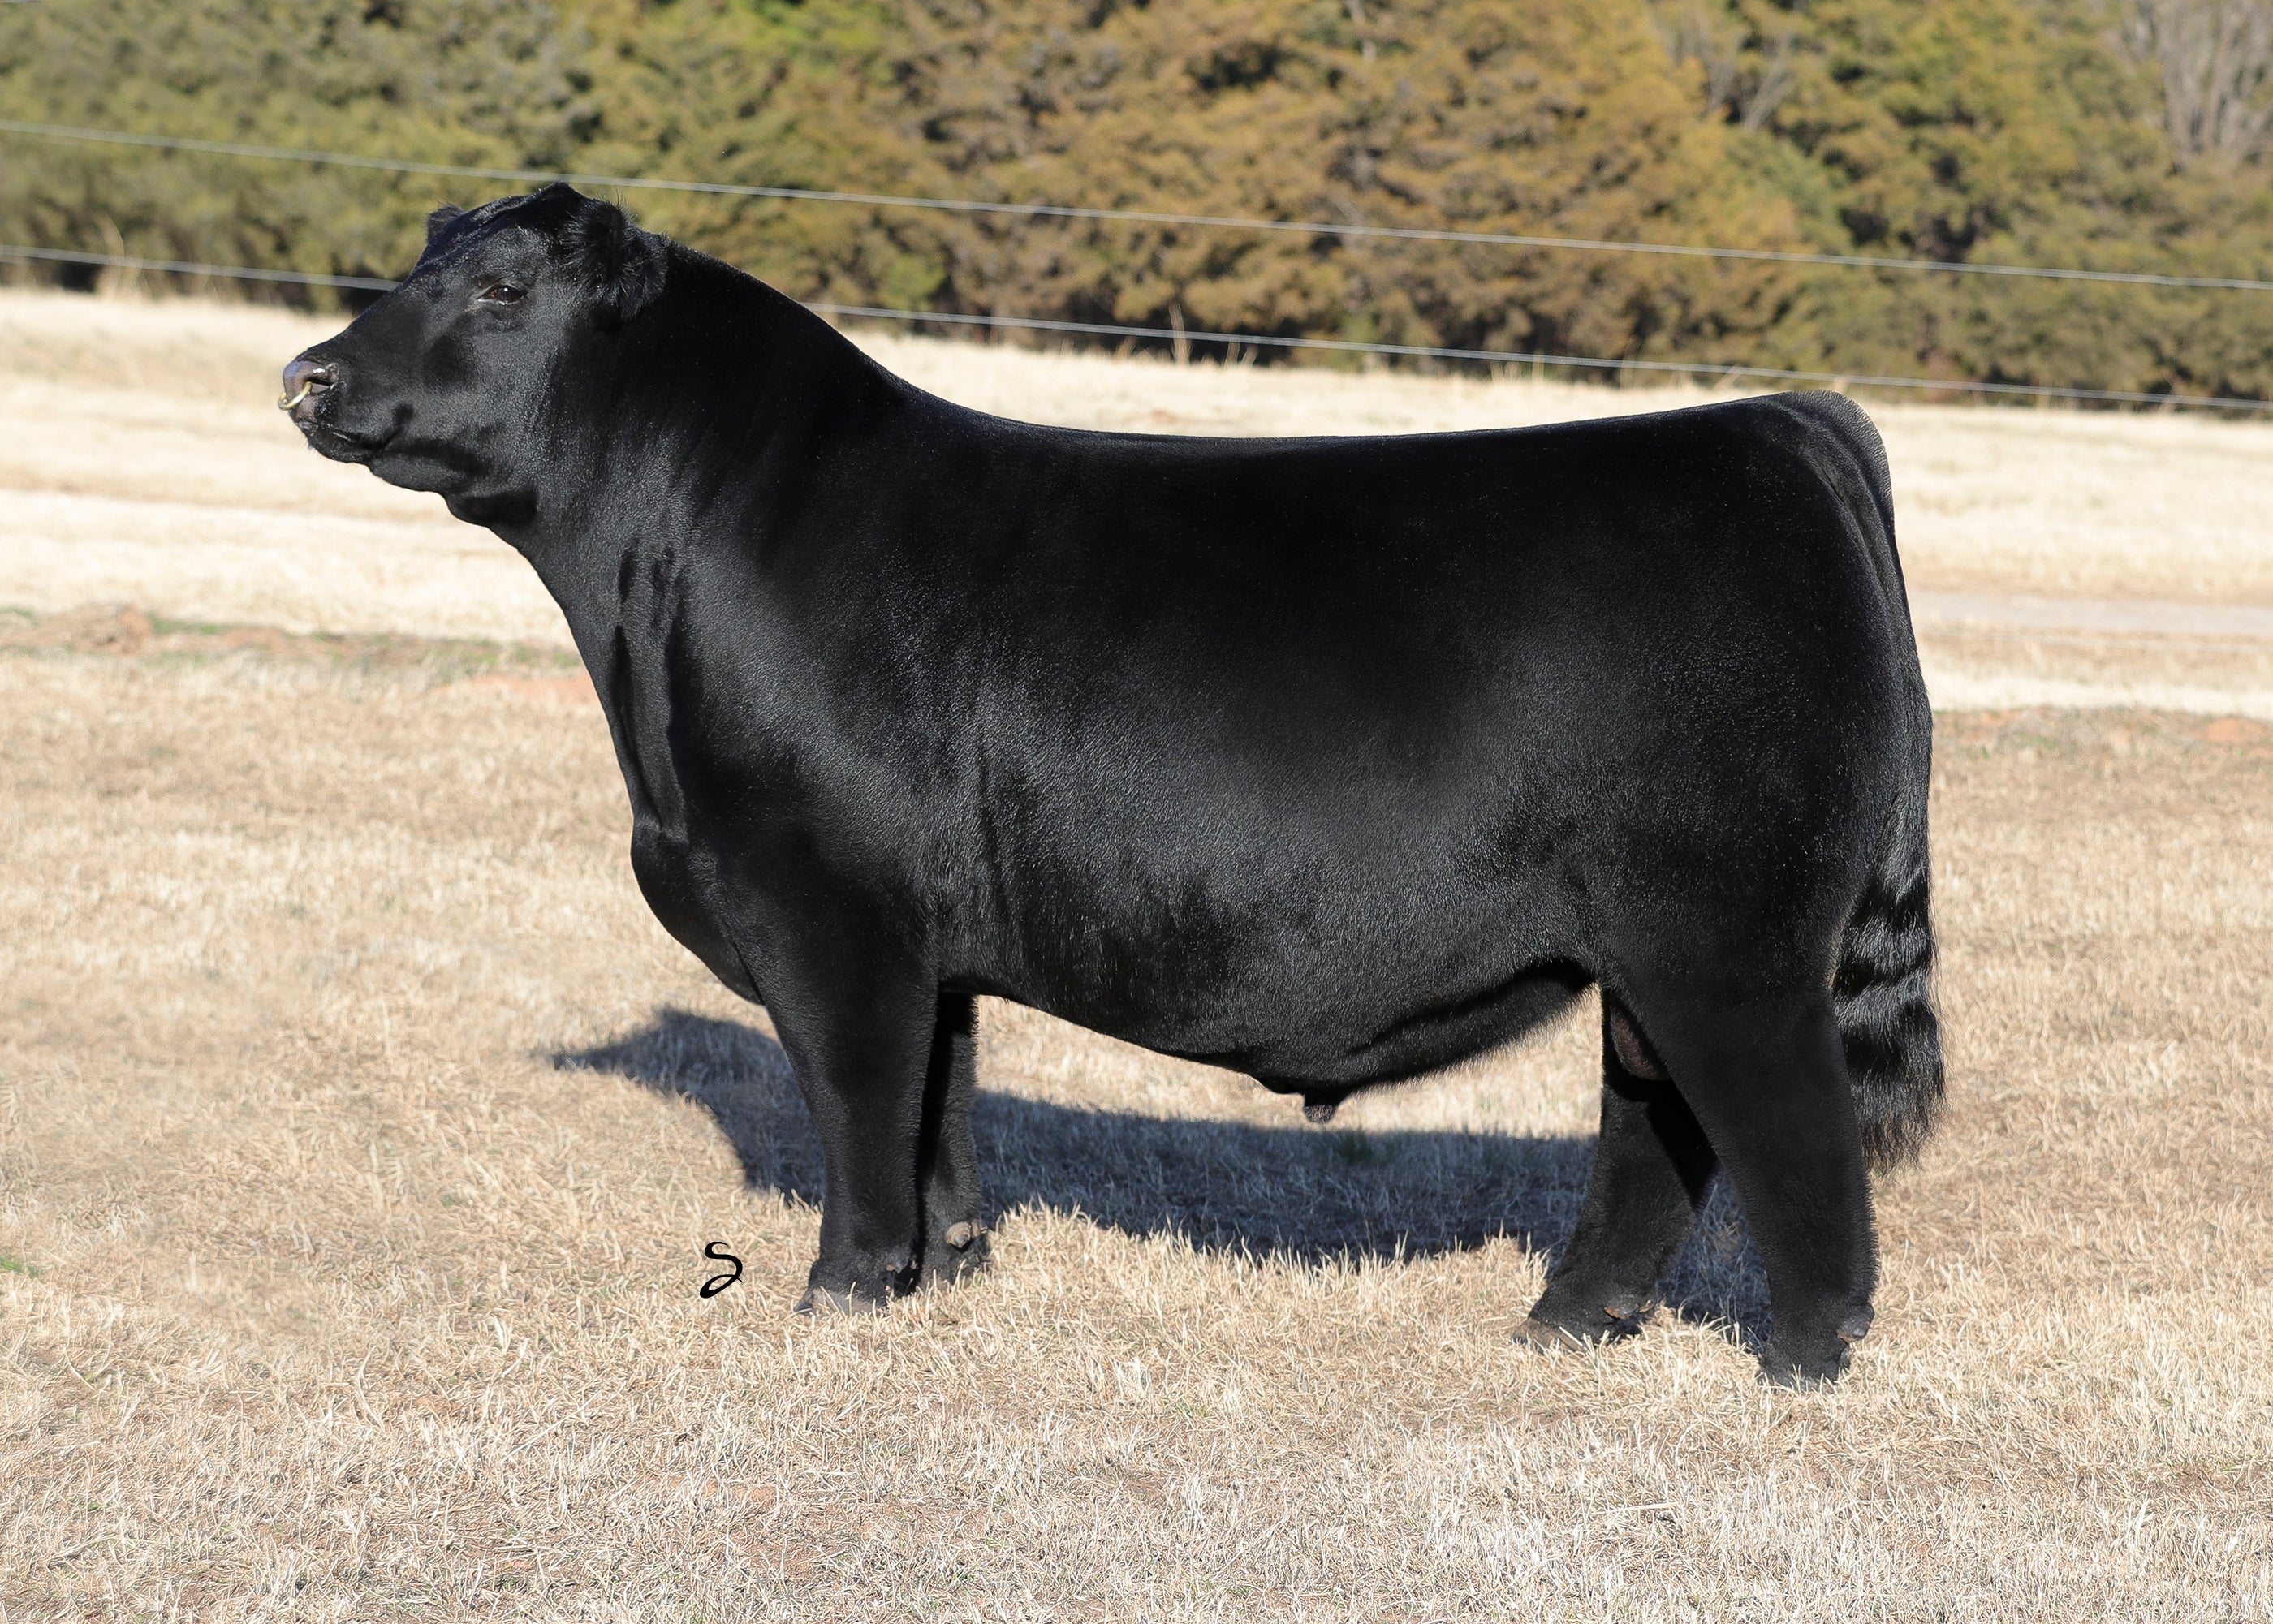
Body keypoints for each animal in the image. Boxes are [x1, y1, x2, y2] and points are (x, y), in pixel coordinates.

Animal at [282, 185, 1942, 1387]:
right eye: (424, 260)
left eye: (502, 291)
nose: (308, 374)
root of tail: (1777, 422)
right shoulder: (924, 940)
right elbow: (939, 1111)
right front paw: (940, 1274)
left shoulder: (830, 912)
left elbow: (861, 1105)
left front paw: (838, 1297)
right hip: (1654, 958)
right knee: (1658, 1134)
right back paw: (1562, 1325)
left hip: (1727, 944)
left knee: (1793, 1140)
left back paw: (1800, 1364)